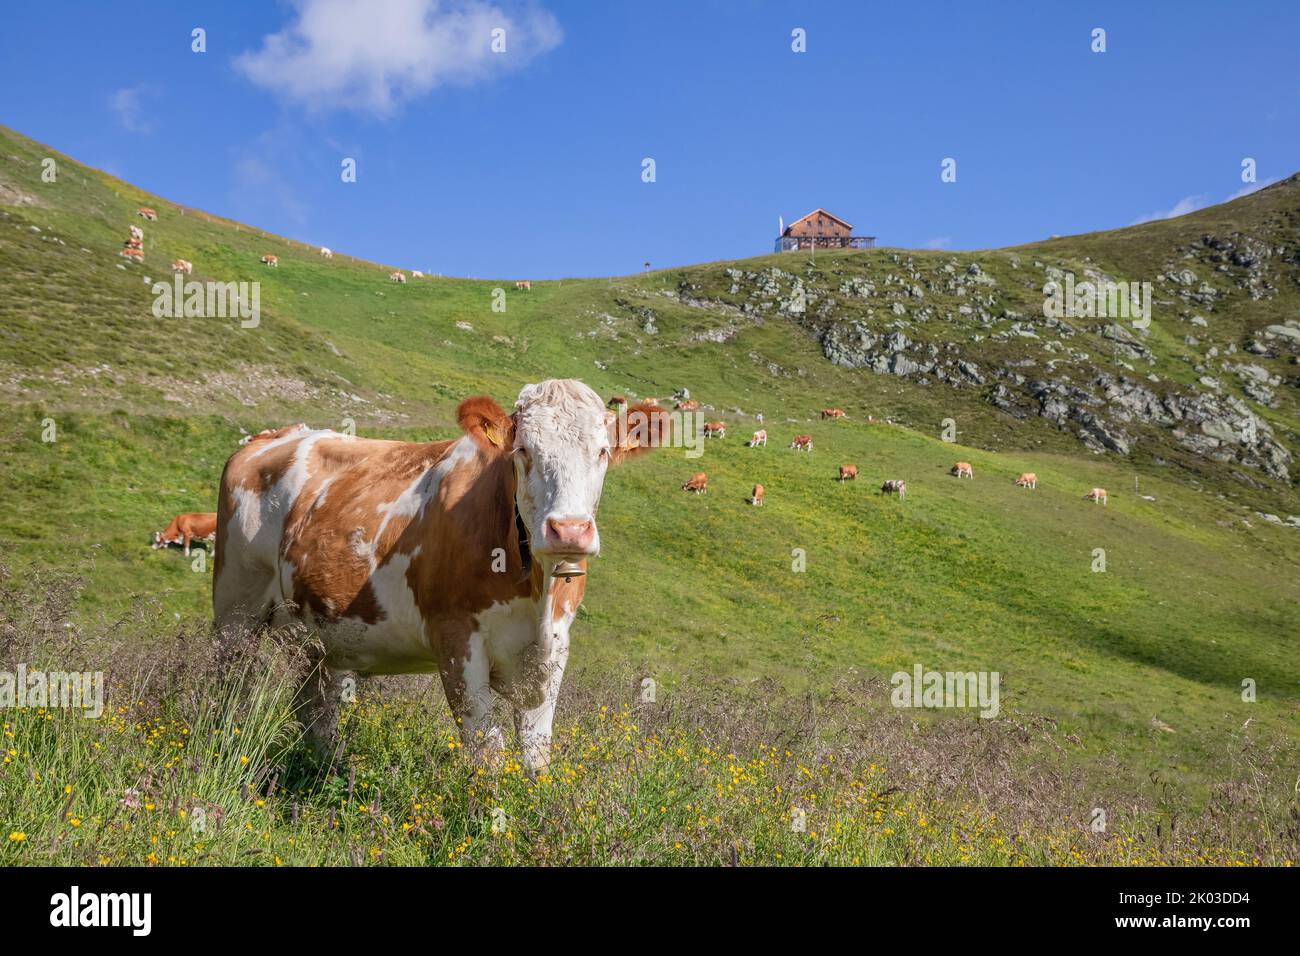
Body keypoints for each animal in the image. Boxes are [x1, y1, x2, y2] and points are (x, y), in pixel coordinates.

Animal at [213, 381, 666, 772]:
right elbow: (487, 753)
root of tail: (276, 436)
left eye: (603, 451)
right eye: (523, 450)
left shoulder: (553, 648)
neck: (536, 594)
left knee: (315, 708)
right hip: (236, 608)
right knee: (228, 687)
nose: (569, 530)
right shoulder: (455, 639)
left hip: (322, 636)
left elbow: (536, 756)